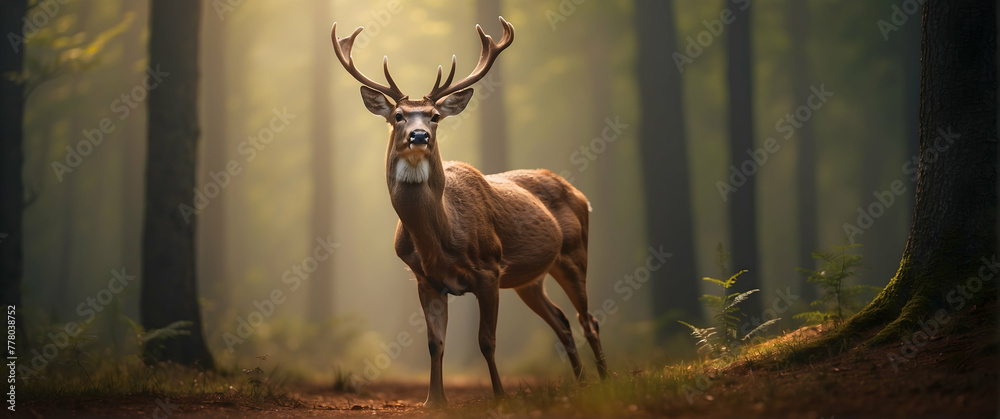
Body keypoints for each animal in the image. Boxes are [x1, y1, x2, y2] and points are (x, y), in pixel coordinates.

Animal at [331, 17, 608, 408]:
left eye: (434, 116)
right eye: (398, 115)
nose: (419, 136)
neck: (441, 239)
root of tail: (581, 195)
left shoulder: (489, 269)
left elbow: (486, 341)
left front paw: (500, 396)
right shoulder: (426, 279)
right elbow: (435, 343)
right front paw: (434, 402)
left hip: (574, 253)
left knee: (588, 320)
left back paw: (606, 381)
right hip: (529, 278)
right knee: (563, 321)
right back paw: (582, 384)